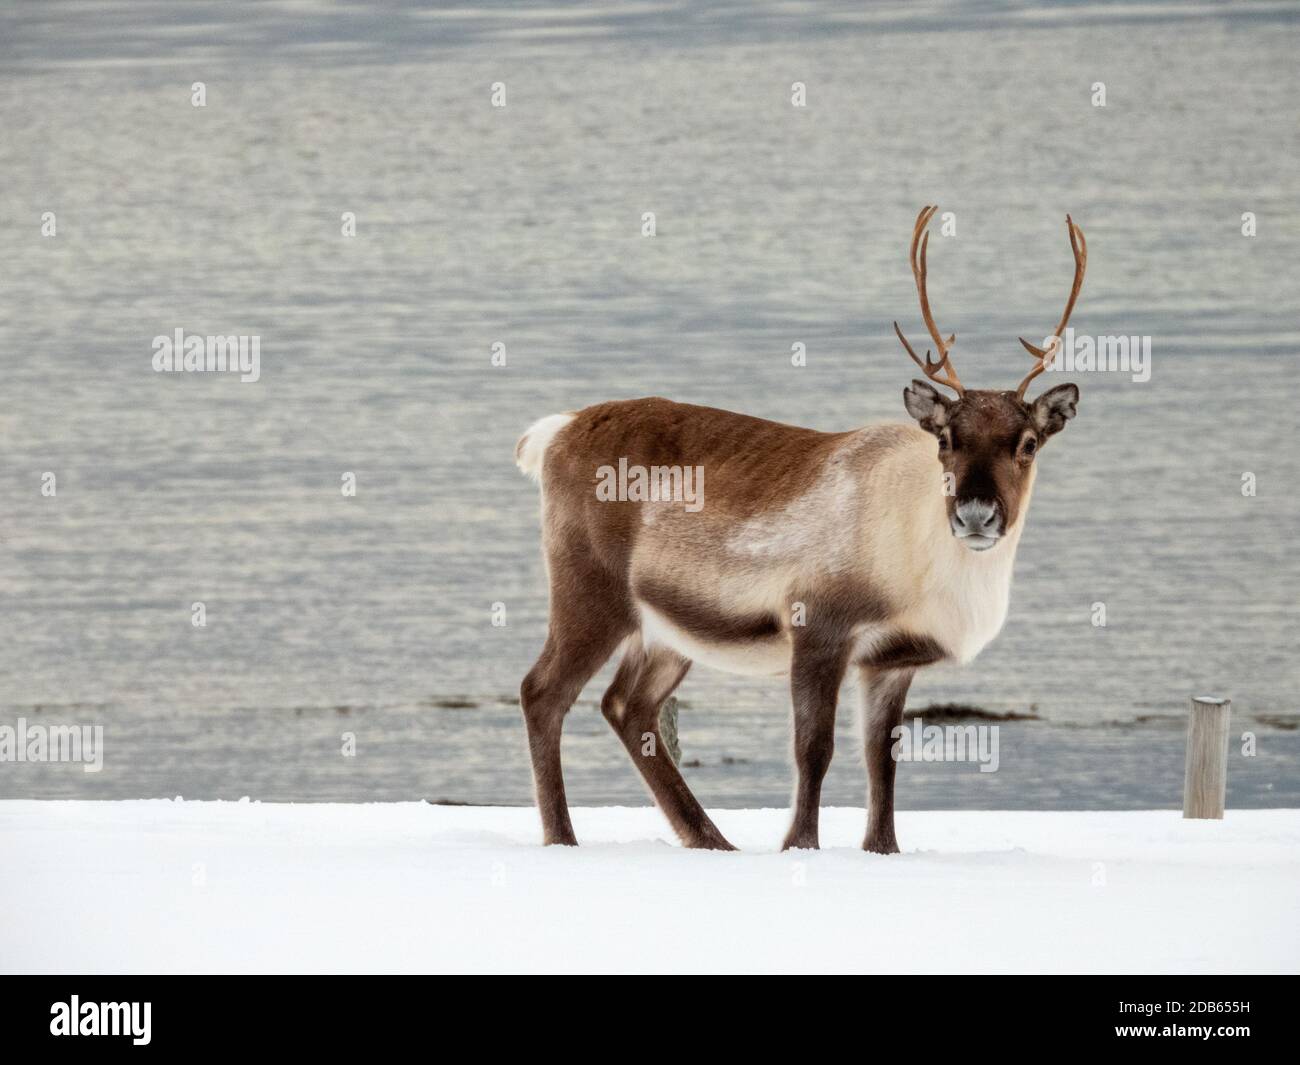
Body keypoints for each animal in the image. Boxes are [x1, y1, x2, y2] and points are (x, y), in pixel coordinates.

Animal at [515, 206, 1086, 853]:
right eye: (946, 438)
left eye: (1029, 443)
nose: (975, 514)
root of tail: (552, 433)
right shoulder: (817, 626)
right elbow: (814, 749)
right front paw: (799, 845)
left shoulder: (891, 661)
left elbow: (881, 760)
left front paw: (882, 849)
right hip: (590, 591)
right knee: (543, 692)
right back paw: (564, 838)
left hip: (661, 629)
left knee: (626, 705)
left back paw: (711, 840)